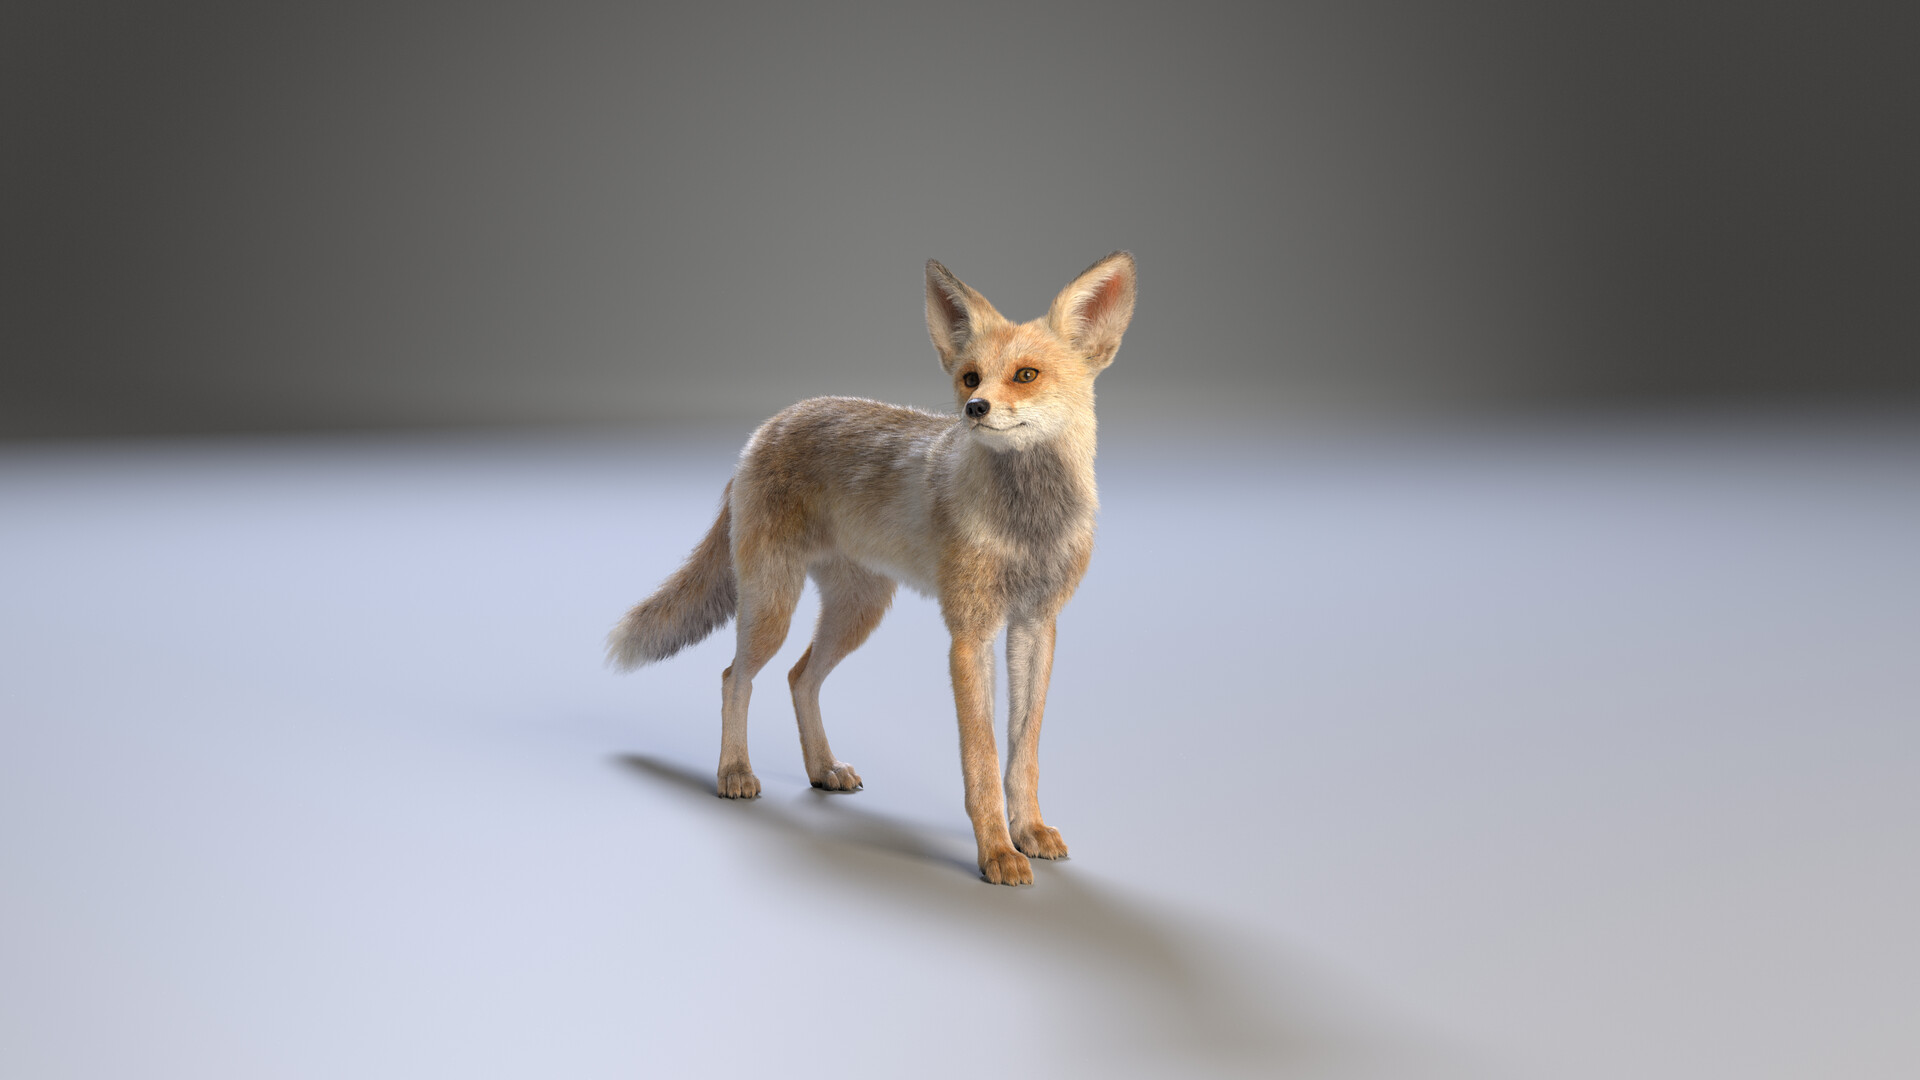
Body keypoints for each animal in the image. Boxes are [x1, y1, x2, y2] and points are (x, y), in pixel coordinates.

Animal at [607, 252, 1136, 885]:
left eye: (1026, 376)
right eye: (970, 378)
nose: (974, 410)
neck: (1028, 525)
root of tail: (767, 427)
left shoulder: (1037, 626)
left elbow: (1022, 753)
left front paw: (1027, 830)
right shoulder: (970, 633)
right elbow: (982, 758)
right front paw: (996, 852)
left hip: (858, 613)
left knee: (799, 677)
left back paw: (822, 769)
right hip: (773, 608)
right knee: (735, 676)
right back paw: (734, 771)